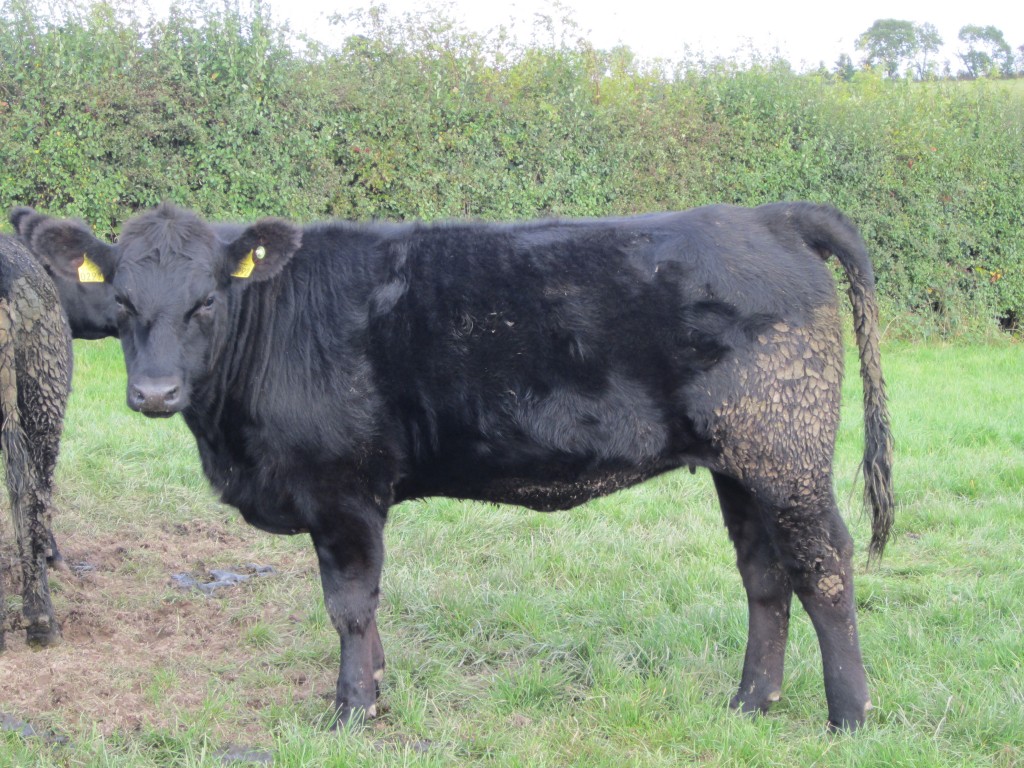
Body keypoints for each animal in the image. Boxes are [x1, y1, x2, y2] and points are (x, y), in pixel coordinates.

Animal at [20, 201, 893, 731]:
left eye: (206, 302)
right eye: (123, 303)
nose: (154, 392)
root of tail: (767, 215)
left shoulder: (342, 491)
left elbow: (349, 604)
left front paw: (350, 710)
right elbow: (366, 608)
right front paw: (377, 693)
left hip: (785, 450)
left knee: (825, 567)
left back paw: (848, 717)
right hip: (738, 464)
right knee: (765, 576)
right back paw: (749, 702)